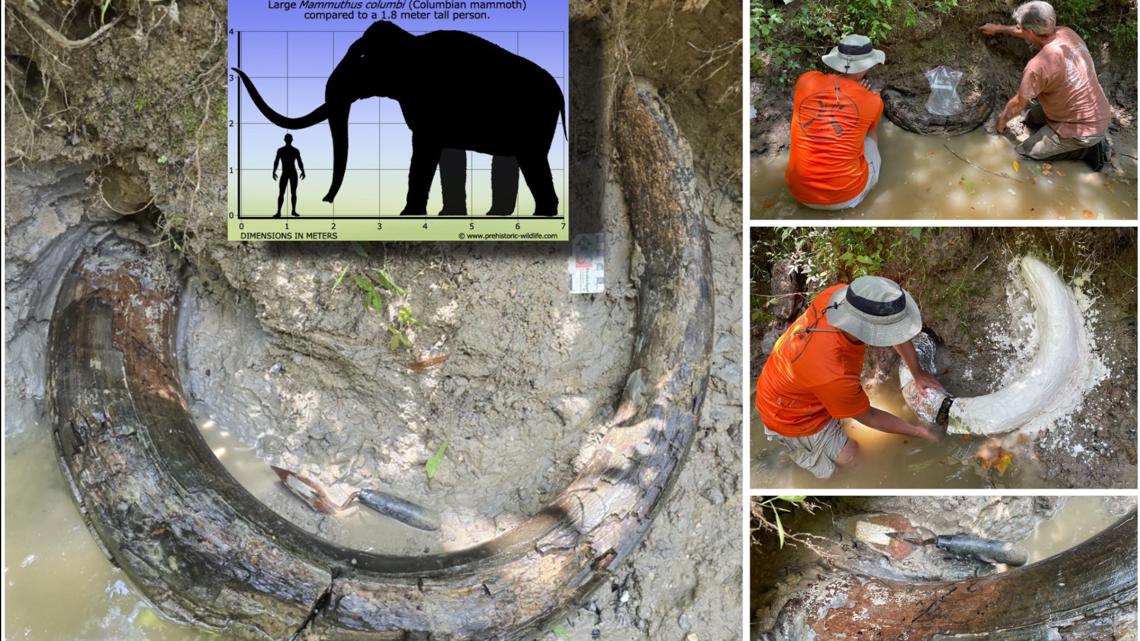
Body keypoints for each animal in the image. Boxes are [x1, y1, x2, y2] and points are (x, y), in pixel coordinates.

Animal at [233, 20, 566, 217]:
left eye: (363, 58)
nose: (326, 201)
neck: (411, 43)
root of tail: (560, 92)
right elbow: (448, 155)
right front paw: (446, 217)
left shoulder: (431, 105)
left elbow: (426, 149)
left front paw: (409, 215)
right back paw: (502, 216)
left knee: (532, 159)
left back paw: (542, 215)